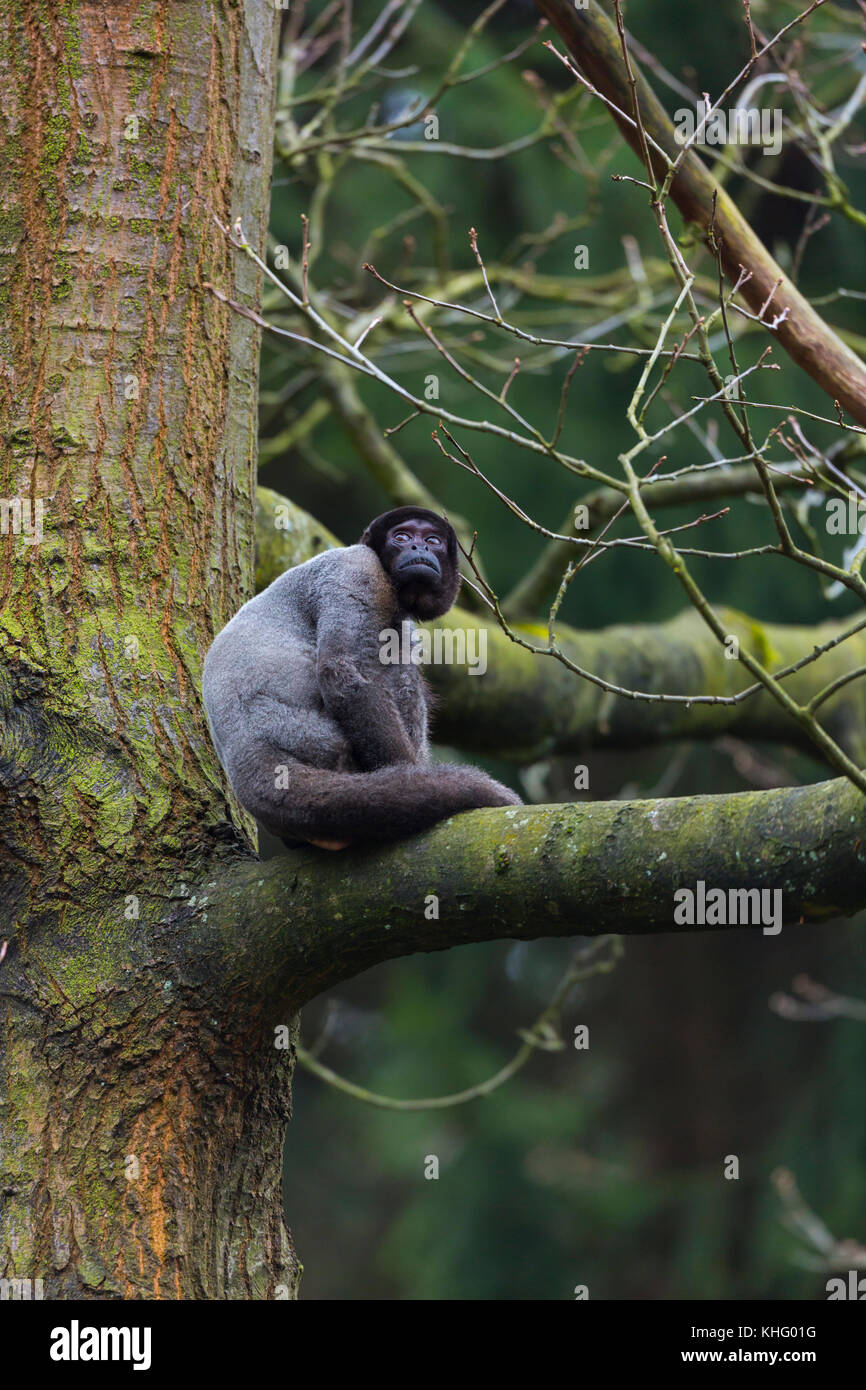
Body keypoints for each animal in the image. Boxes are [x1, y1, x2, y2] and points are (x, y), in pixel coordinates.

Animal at [202, 507, 522, 850]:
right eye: (401, 537)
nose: (418, 547)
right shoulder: (357, 570)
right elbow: (342, 671)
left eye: (432, 540)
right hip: (304, 732)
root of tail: (244, 747)